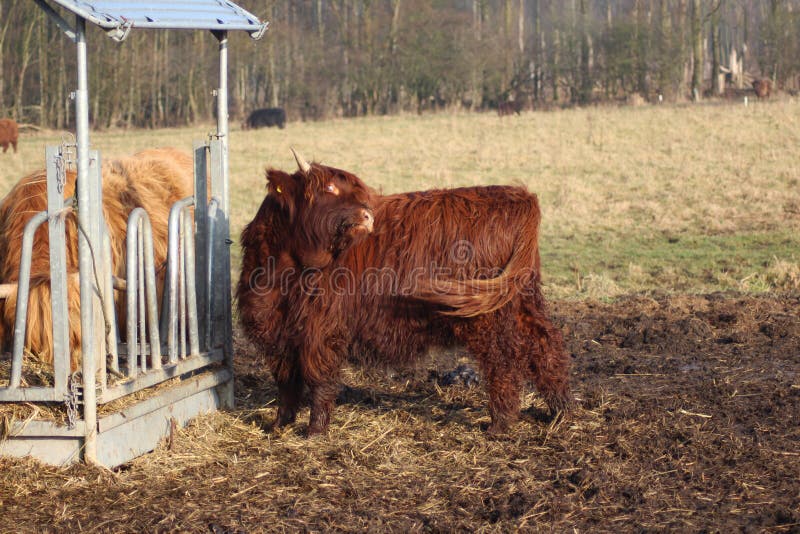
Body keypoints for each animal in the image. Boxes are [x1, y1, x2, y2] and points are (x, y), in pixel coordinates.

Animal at [237, 150, 571, 436]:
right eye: (329, 188)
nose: (368, 216)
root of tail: (518, 196)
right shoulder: (278, 330)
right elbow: (286, 381)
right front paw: (279, 424)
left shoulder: (319, 328)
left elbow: (318, 378)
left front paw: (315, 431)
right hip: (520, 299)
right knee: (544, 343)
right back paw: (559, 410)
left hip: (487, 314)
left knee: (503, 359)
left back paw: (500, 424)